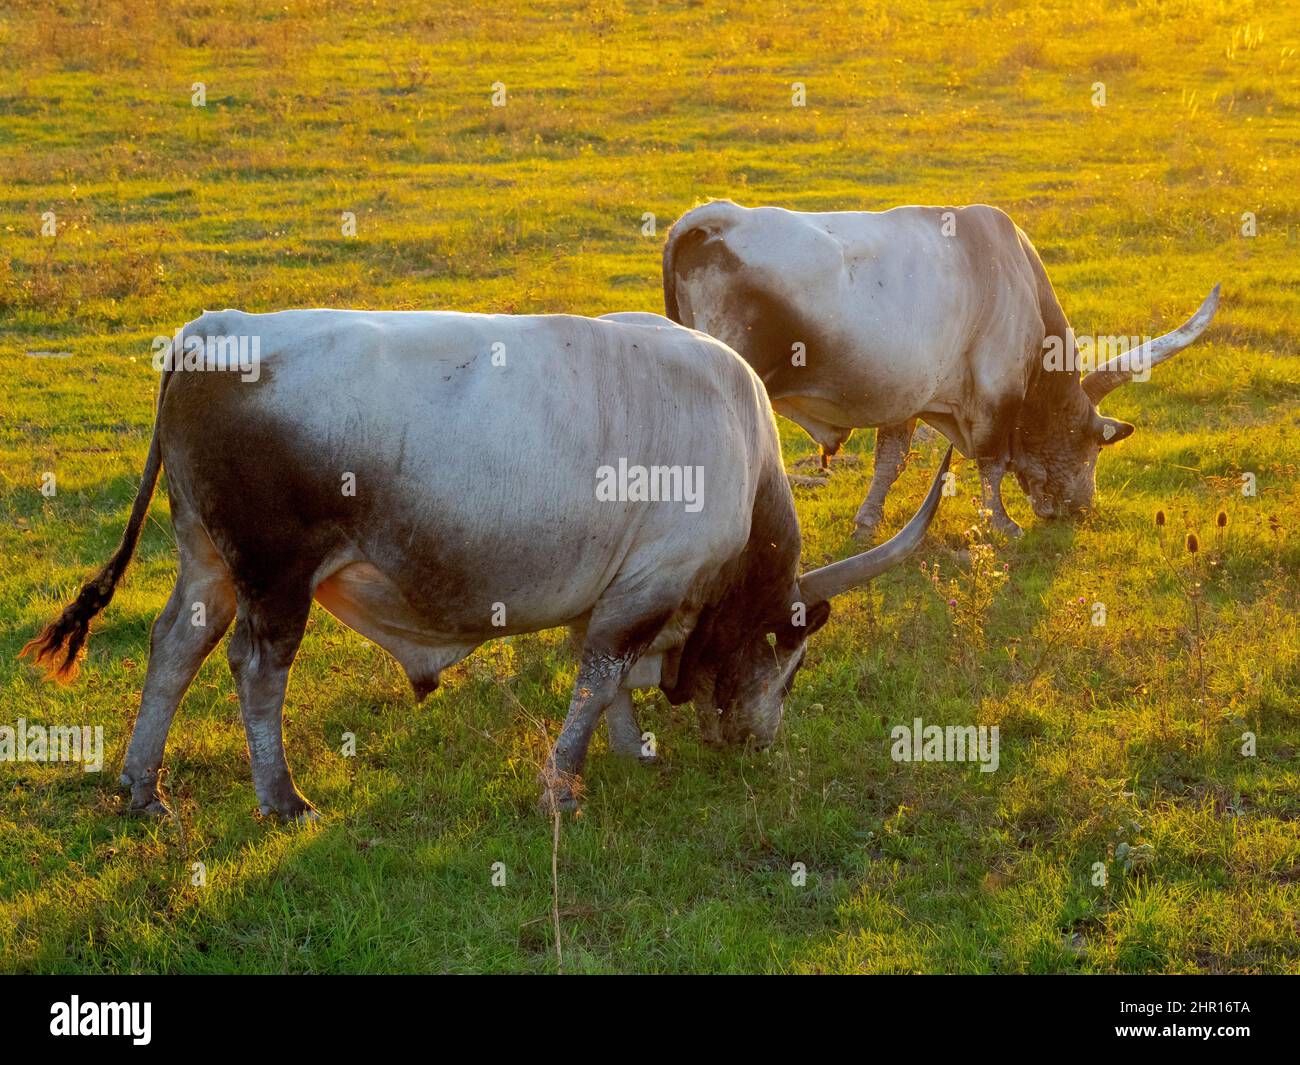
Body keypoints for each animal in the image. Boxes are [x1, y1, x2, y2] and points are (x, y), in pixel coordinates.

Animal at [21, 309, 950, 817]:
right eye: (790, 660)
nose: (757, 742)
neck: (744, 455)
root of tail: (204, 336)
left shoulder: (617, 590)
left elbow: (609, 680)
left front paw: (631, 750)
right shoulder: (646, 587)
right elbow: (597, 676)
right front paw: (565, 782)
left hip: (208, 558)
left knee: (175, 646)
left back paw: (143, 786)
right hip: (274, 572)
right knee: (255, 667)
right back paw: (281, 799)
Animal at [661, 200, 1219, 539]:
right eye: (1093, 446)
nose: (1080, 510)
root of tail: (720, 217)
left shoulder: (907, 395)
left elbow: (890, 460)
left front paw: (867, 522)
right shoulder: (996, 391)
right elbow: (992, 462)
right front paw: (1002, 524)